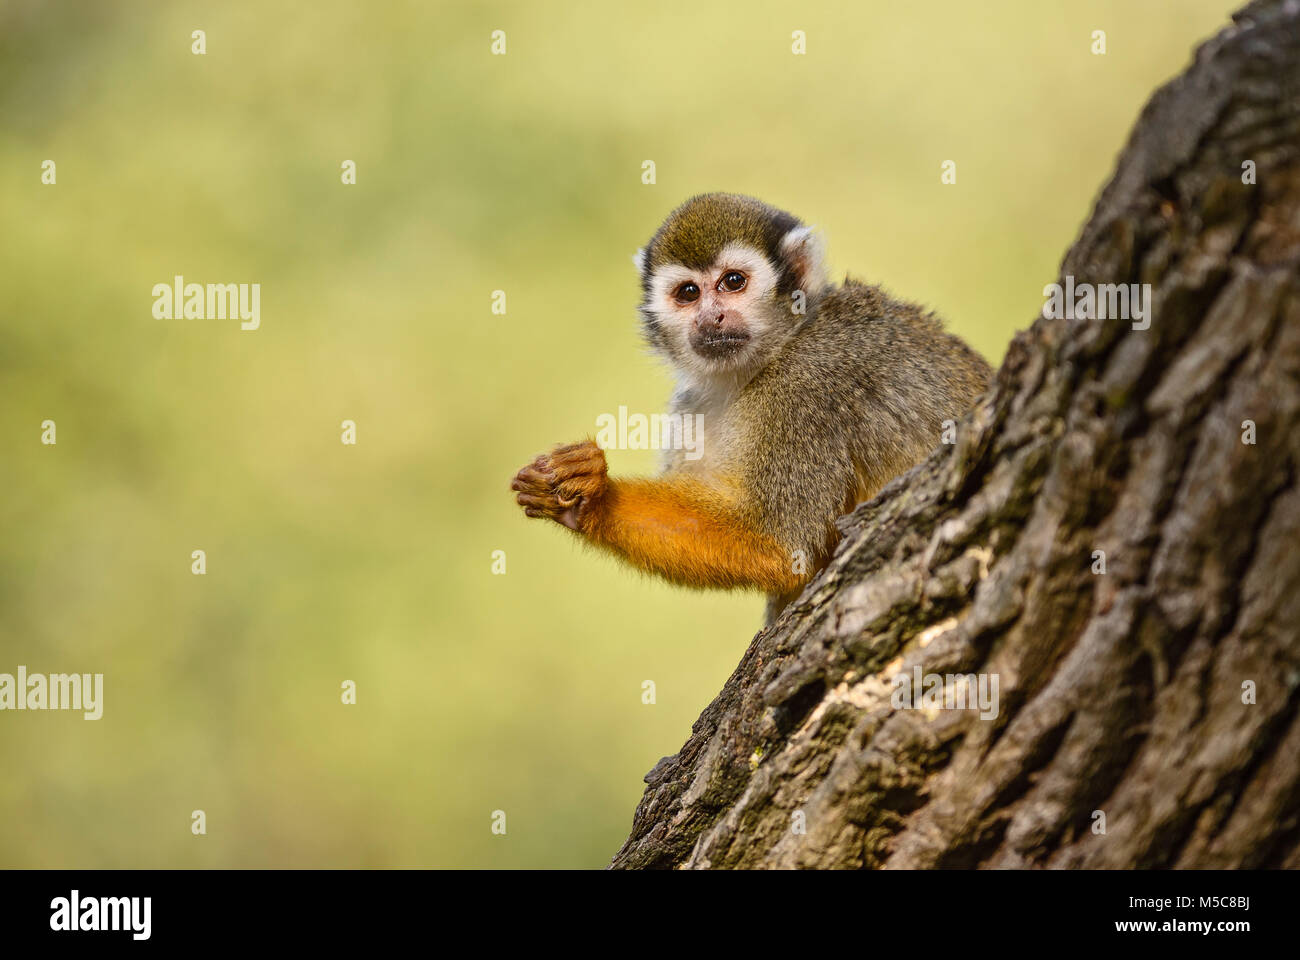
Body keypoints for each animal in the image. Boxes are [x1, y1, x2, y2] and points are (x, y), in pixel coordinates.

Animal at [511, 193, 992, 623]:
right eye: (688, 292)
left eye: (733, 282)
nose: (711, 318)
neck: (768, 358)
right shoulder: (692, 404)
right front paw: (576, 498)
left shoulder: (805, 389)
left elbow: (781, 544)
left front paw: (598, 496)